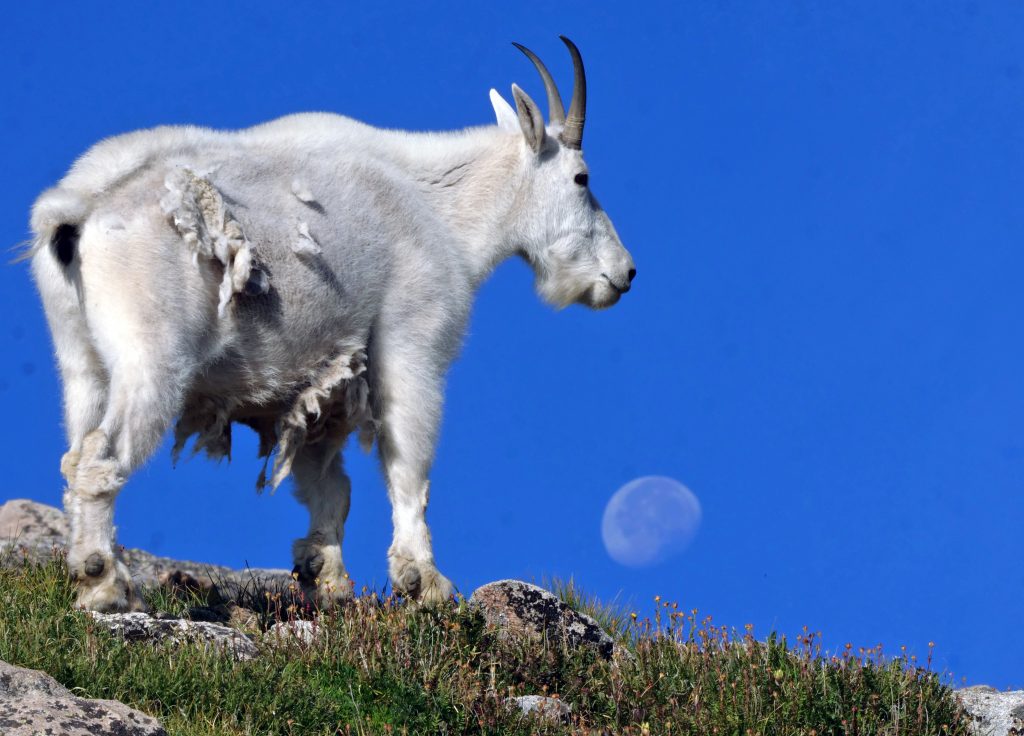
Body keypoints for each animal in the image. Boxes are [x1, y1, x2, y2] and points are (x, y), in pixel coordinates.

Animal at [26, 38, 636, 612]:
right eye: (581, 178)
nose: (624, 272)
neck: (441, 207)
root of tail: (79, 208)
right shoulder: (411, 341)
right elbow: (409, 465)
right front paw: (424, 580)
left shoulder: (321, 382)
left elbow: (329, 483)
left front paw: (327, 577)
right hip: (152, 355)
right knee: (101, 459)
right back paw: (106, 585)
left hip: (80, 361)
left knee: (76, 452)